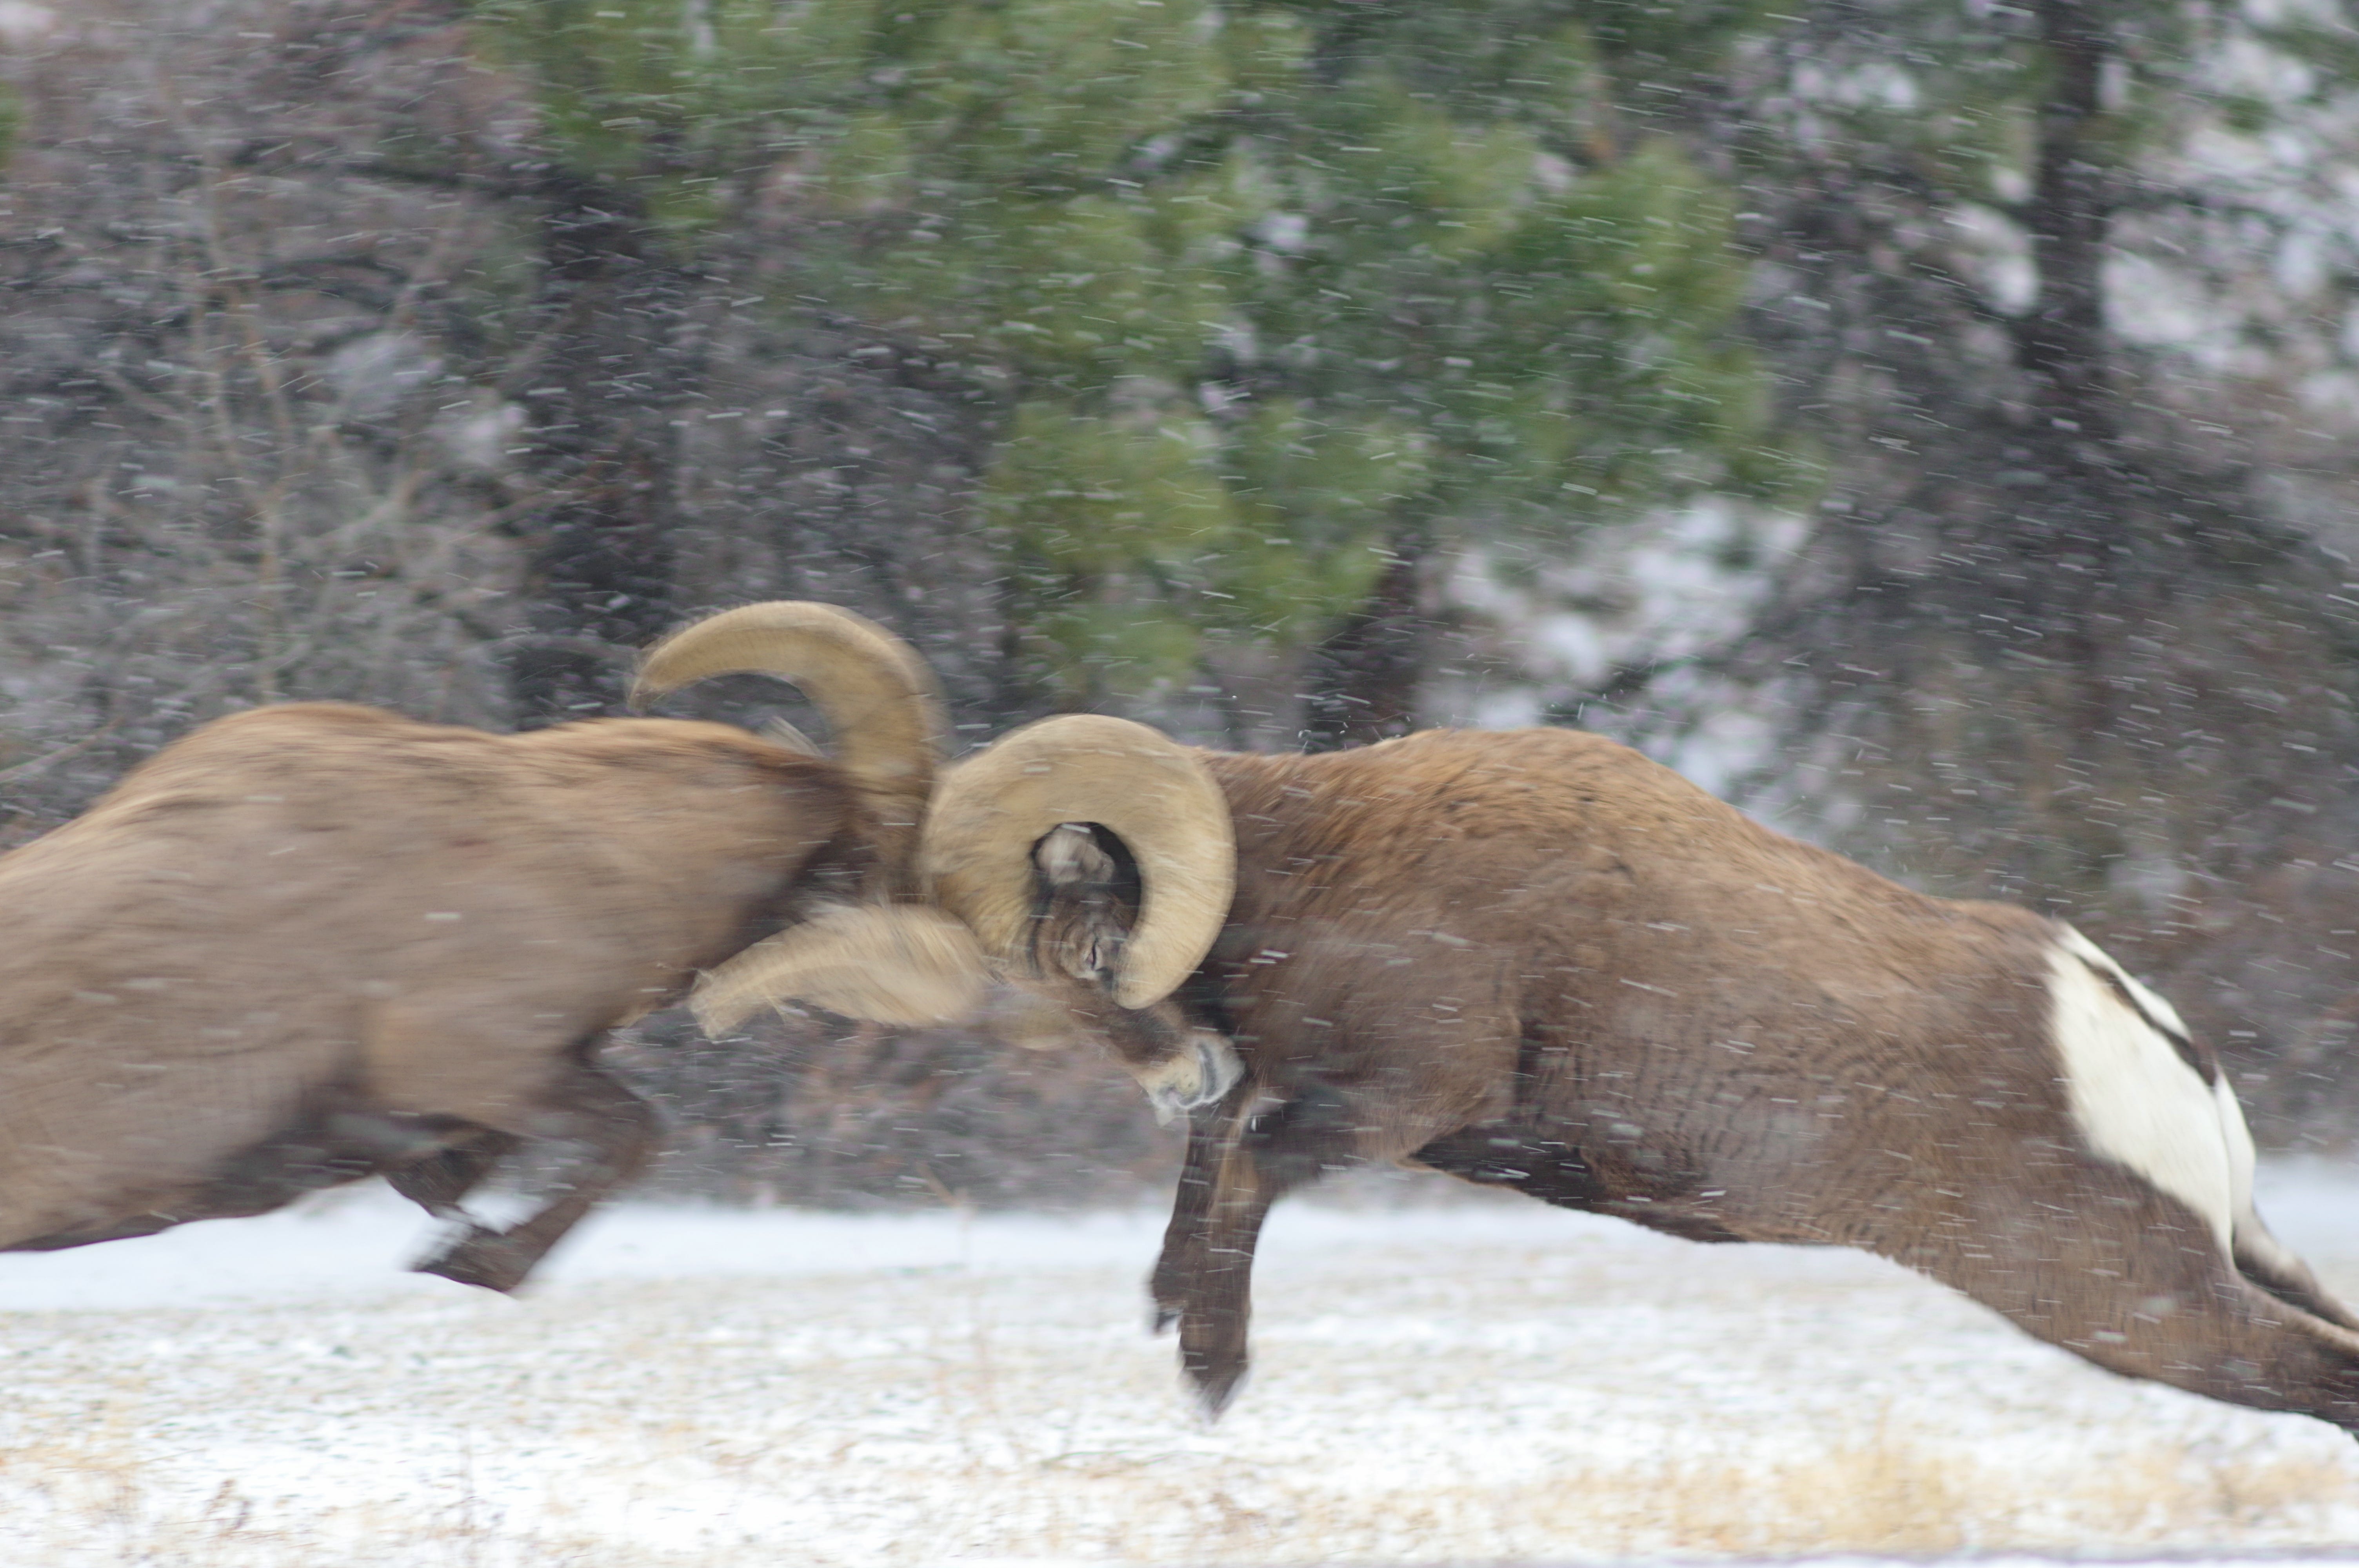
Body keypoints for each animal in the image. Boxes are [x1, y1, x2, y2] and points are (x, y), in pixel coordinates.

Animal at [740, 713, 2359, 1436]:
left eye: (1040, 941)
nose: (1163, 1064)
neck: (1322, 863)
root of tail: (2128, 1035)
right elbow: (1220, 1152)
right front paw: (1164, 1315)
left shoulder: (1395, 1106)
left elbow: (1247, 1157)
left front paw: (1211, 1373)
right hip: (2189, 1273)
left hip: (2122, 1303)